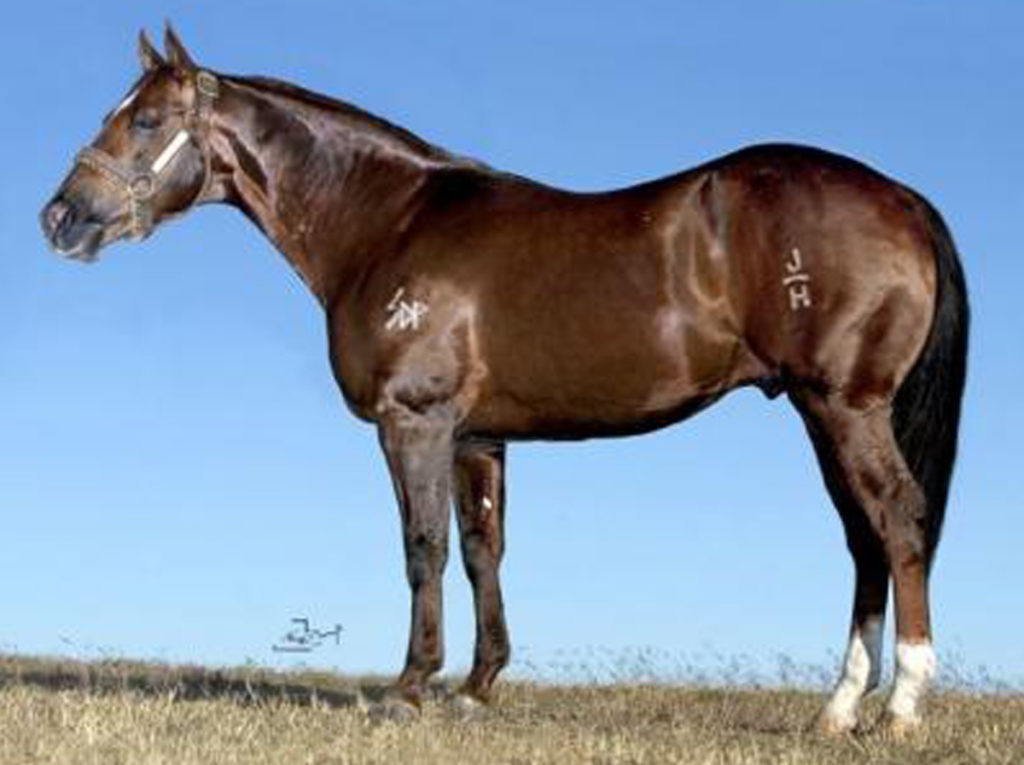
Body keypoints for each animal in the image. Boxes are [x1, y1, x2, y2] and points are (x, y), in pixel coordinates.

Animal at [40, 26, 968, 733]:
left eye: (145, 119)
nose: (60, 217)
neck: (385, 222)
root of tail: (902, 197)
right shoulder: (477, 436)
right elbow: (484, 549)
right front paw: (479, 685)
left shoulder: (412, 422)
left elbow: (422, 546)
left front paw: (409, 687)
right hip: (820, 411)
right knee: (862, 537)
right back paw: (838, 708)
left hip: (844, 406)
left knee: (897, 518)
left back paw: (900, 707)